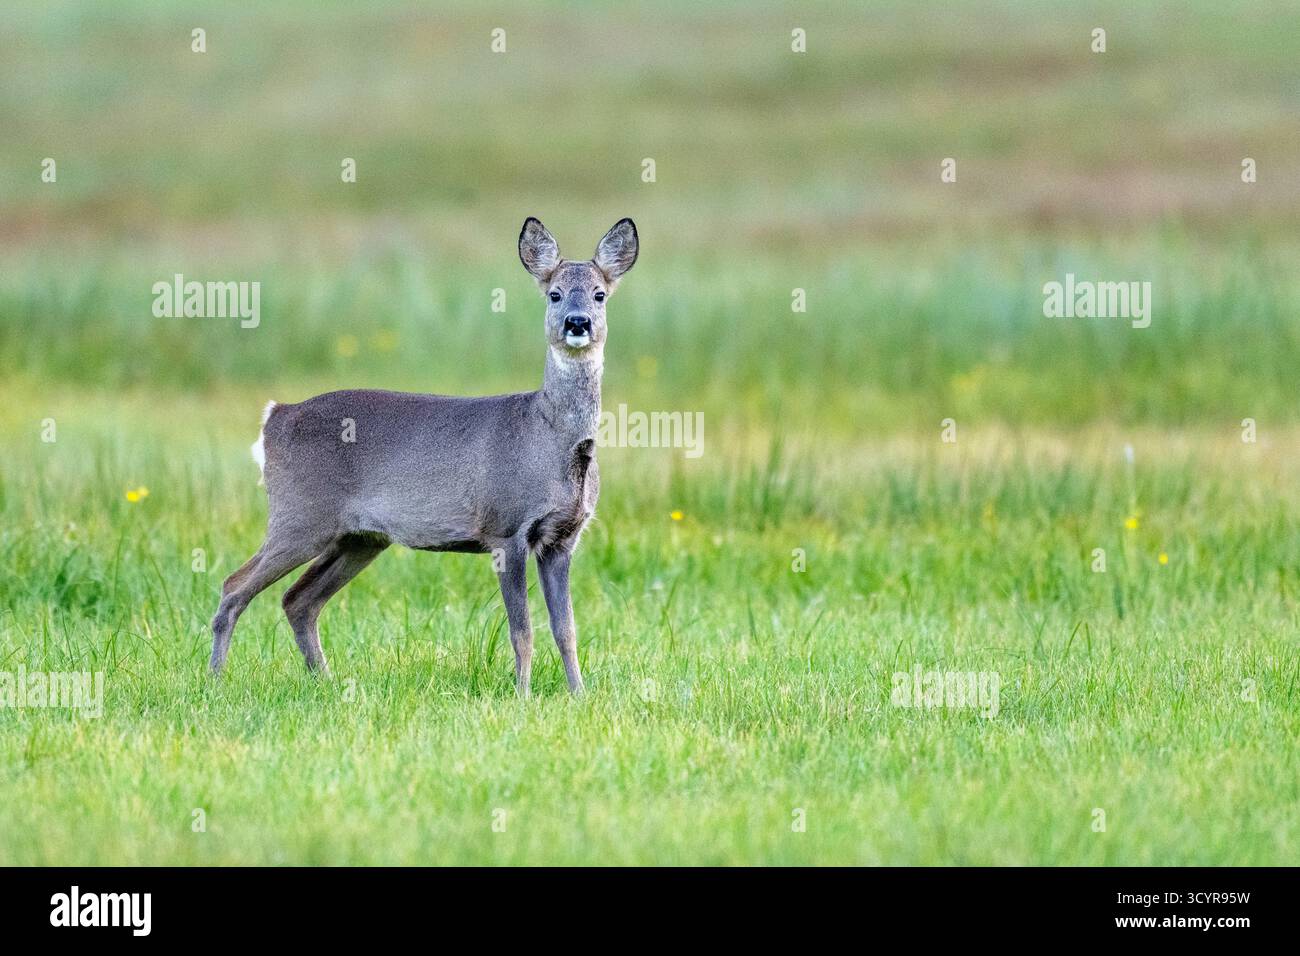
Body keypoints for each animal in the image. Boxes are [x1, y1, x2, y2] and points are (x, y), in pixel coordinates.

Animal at [209, 217, 638, 695]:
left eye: (600, 294)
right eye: (555, 294)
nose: (577, 323)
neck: (550, 438)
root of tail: (275, 417)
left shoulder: (562, 539)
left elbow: (567, 629)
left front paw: (579, 695)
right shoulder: (505, 528)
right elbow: (522, 629)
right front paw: (523, 696)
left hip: (359, 538)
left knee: (297, 599)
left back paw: (328, 682)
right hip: (300, 515)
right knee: (234, 585)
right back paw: (216, 681)